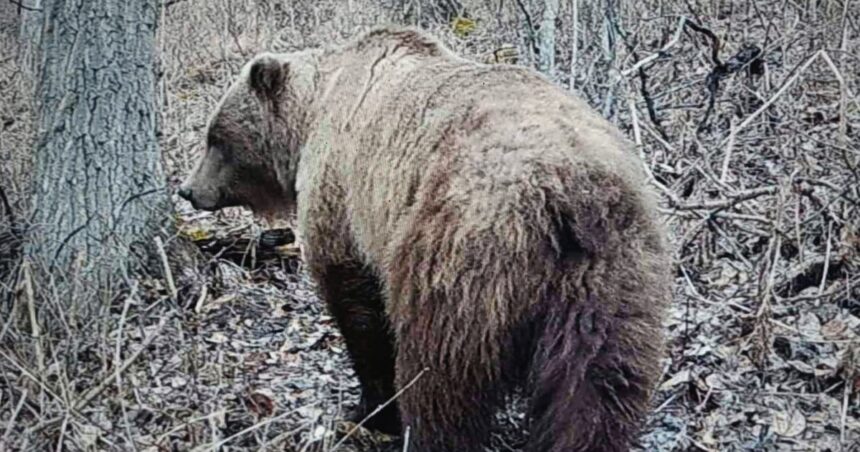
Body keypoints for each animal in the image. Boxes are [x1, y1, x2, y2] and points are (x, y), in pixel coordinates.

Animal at [179, 26, 672, 452]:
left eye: (214, 137)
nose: (188, 189)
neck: (314, 113)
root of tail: (568, 193)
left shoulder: (345, 195)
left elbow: (356, 304)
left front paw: (369, 410)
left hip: (462, 255)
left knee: (439, 372)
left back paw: (424, 430)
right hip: (614, 279)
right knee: (597, 387)